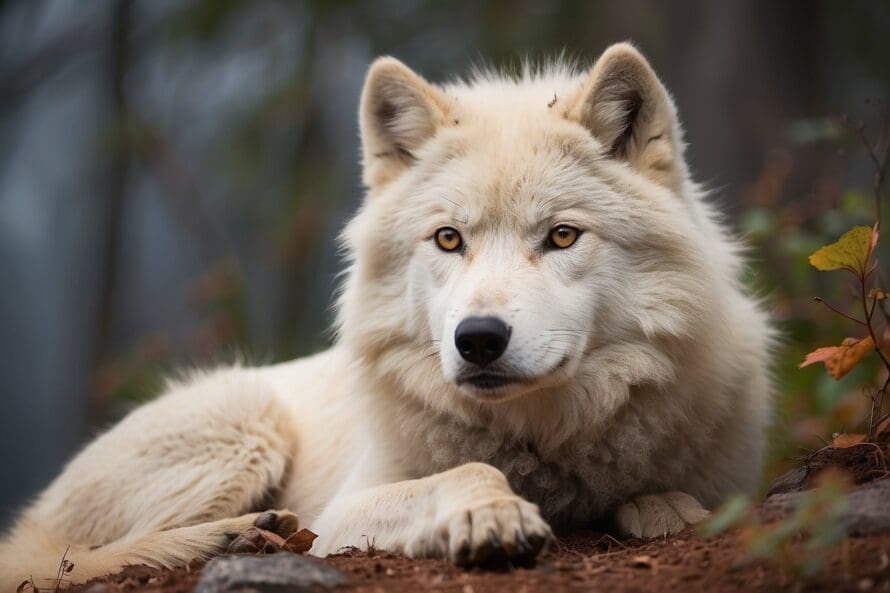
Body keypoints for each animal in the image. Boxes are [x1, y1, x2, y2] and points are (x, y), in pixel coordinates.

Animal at [0, 43, 772, 589]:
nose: (478, 339)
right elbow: (463, 474)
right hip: (245, 420)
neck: (544, 446)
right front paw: (488, 513)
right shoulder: (346, 510)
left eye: (561, 236)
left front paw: (665, 509)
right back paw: (239, 535)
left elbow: (669, 495)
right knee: (72, 558)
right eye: (448, 239)